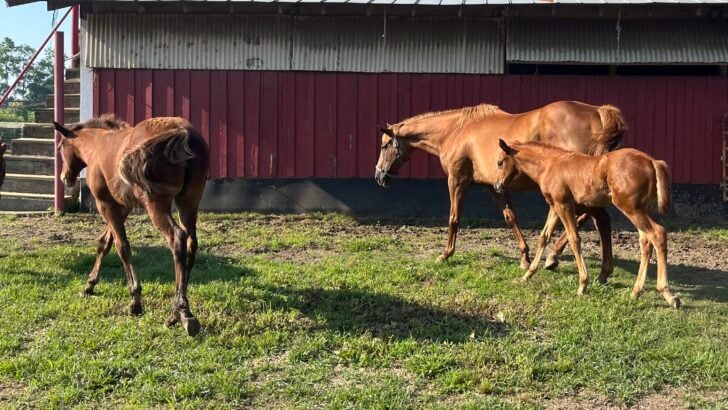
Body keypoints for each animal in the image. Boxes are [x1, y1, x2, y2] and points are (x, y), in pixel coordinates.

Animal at [53, 115, 210, 335]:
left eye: (60, 147)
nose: (65, 177)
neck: (98, 145)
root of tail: (183, 130)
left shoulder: (105, 204)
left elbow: (122, 246)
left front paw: (135, 299)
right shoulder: (122, 205)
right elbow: (105, 242)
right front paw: (90, 284)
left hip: (156, 204)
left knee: (177, 238)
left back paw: (180, 312)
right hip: (189, 201)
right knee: (191, 243)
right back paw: (180, 311)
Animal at [374, 101, 626, 281]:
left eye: (385, 145)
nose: (379, 176)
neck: (455, 130)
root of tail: (598, 112)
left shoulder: (456, 181)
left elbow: (454, 219)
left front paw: (446, 254)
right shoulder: (494, 187)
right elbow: (510, 217)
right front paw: (524, 257)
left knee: (593, 219)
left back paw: (558, 258)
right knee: (598, 220)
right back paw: (591, 268)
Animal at [494, 139, 680, 308]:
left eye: (500, 162)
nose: (497, 186)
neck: (549, 165)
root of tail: (652, 161)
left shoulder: (564, 204)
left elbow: (574, 238)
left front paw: (583, 284)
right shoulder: (554, 206)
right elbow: (543, 237)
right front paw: (528, 274)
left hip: (631, 208)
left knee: (658, 233)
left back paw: (667, 293)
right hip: (641, 209)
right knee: (646, 242)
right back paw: (636, 292)